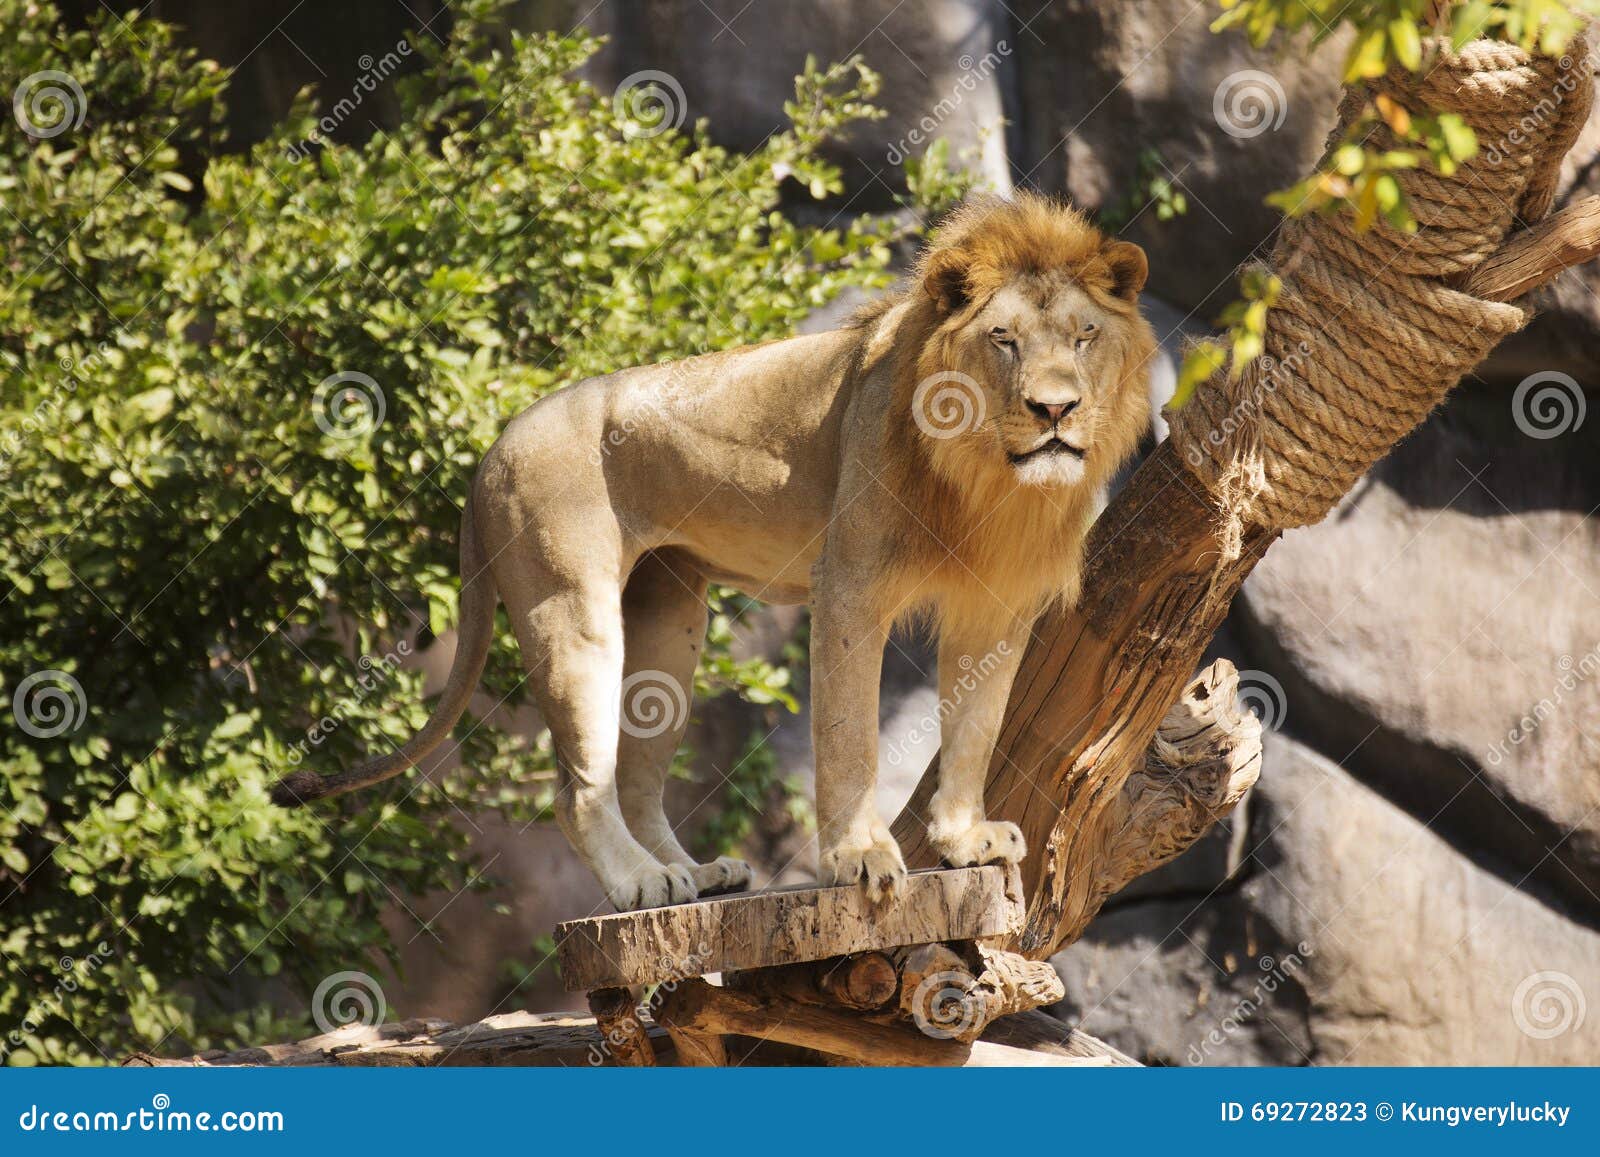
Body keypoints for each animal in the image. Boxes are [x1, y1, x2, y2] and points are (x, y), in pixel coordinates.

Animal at [272, 193, 1156, 912]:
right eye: (1004, 340)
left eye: (1083, 336)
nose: (1054, 409)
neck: (989, 480)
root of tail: (494, 444)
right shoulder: (850, 586)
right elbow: (850, 736)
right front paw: (859, 856)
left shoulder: (997, 603)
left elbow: (975, 727)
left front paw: (965, 837)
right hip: (573, 611)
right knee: (578, 786)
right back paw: (640, 881)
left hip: (669, 622)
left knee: (635, 776)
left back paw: (692, 875)